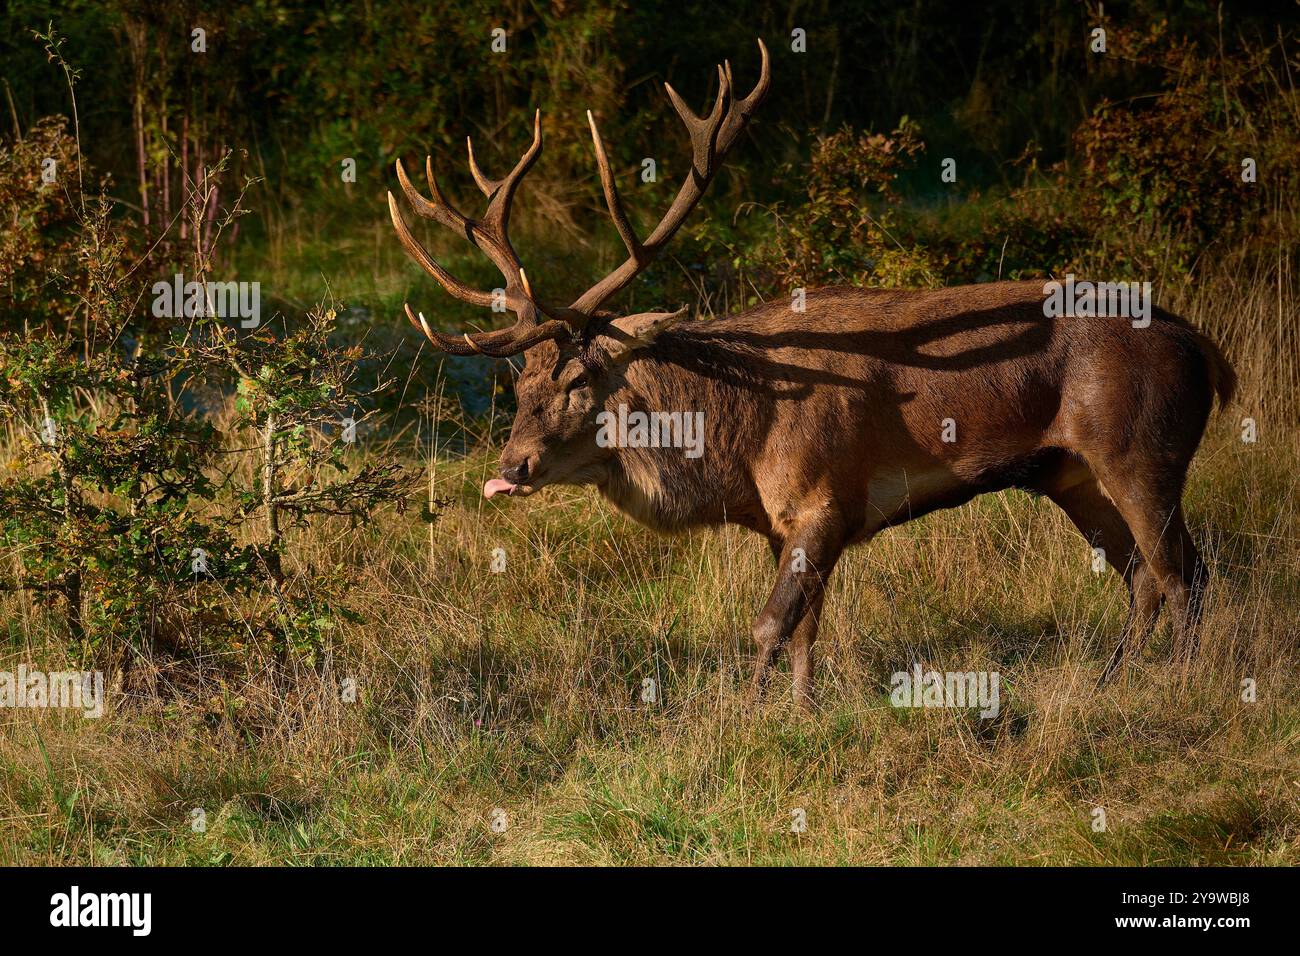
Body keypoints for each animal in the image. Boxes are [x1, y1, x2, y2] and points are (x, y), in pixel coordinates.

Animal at [388, 39, 1235, 708]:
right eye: (518, 385)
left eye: (579, 381)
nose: (511, 466)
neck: (736, 439)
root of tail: (1203, 346)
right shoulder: (785, 521)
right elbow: (806, 630)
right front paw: (802, 710)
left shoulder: (825, 496)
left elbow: (769, 625)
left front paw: (742, 720)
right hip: (1069, 473)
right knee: (1142, 577)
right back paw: (1110, 682)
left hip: (1141, 450)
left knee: (1185, 573)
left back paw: (1184, 685)